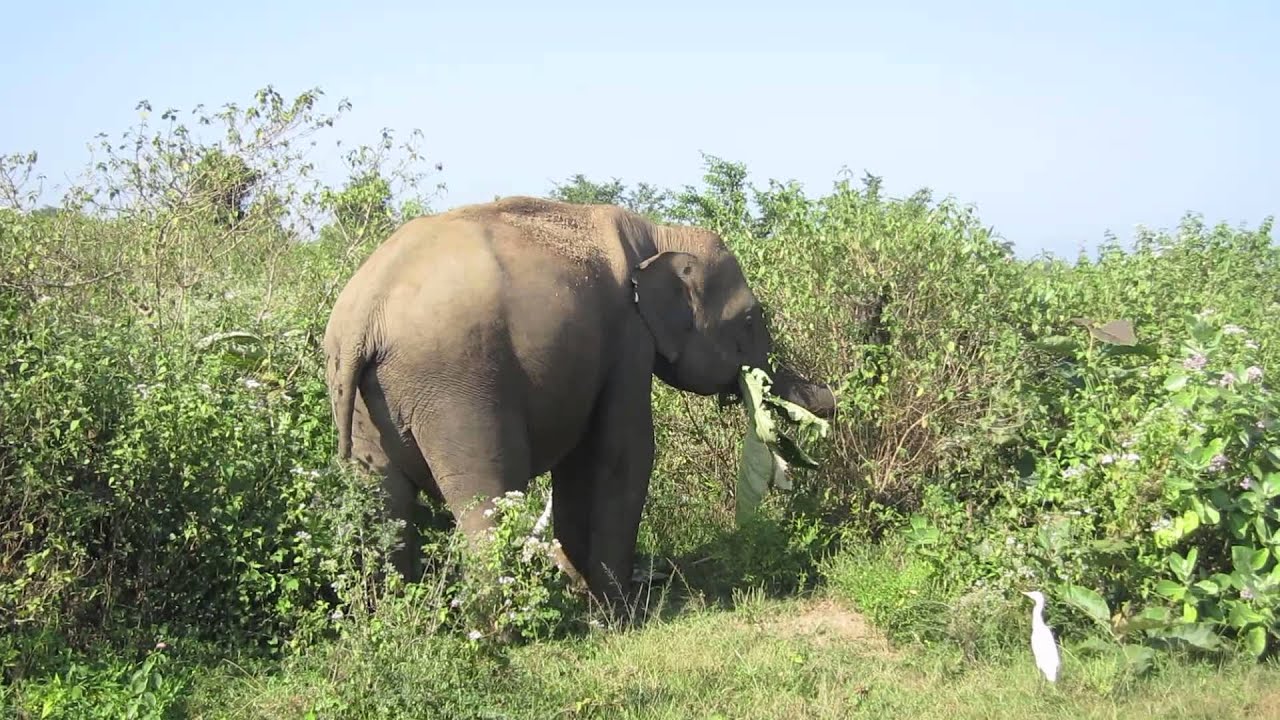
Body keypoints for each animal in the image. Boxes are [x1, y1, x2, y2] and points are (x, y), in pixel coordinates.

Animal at [322, 196, 836, 608]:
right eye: (749, 320)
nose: (832, 405)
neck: (656, 233)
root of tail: (365, 312)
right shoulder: (628, 336)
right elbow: (624, 452)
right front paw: (616, 614)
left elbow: (577, 464)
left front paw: (584, 596)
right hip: (456, 386)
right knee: (485, 498)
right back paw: (502, 632)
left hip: (364, 396)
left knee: (381, 501)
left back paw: (388, 616)